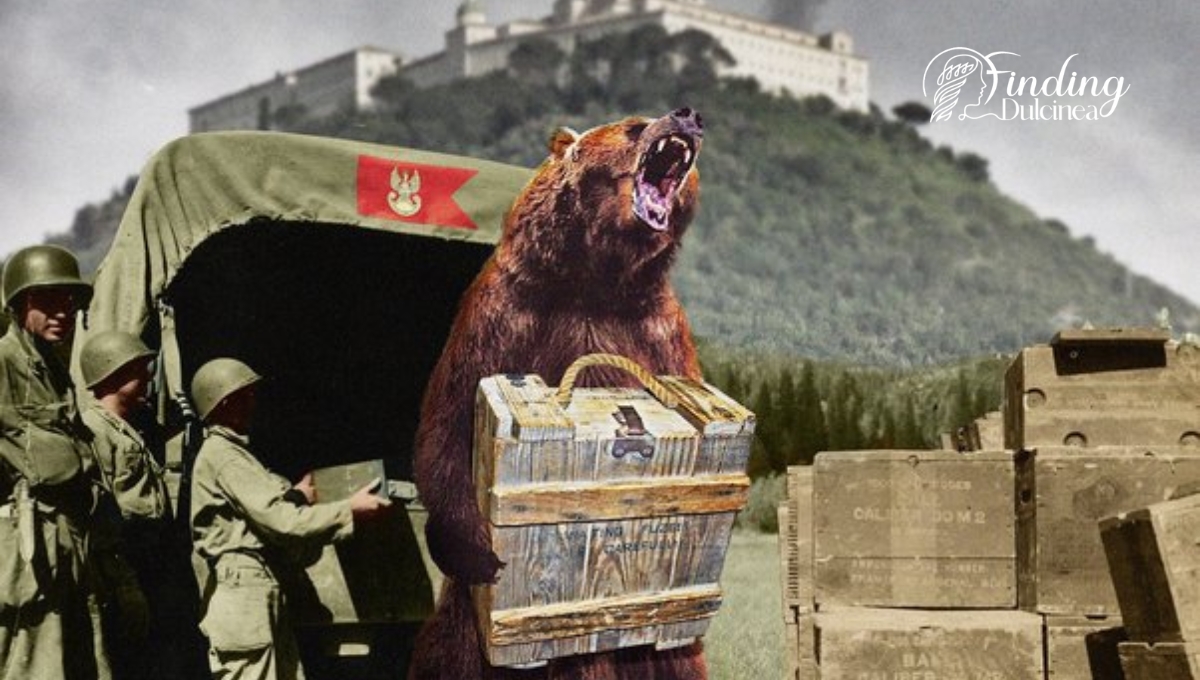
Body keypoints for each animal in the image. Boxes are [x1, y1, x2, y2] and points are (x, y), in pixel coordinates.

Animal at [408, 108, 707, 680]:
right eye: (634, 125)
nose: (689, 116)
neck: (596, 279)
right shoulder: (503, 316)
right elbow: (449, 423)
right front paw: (480, 552)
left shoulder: (658, 331)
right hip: (461, 635)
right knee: (445, 651)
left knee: (679, 657)